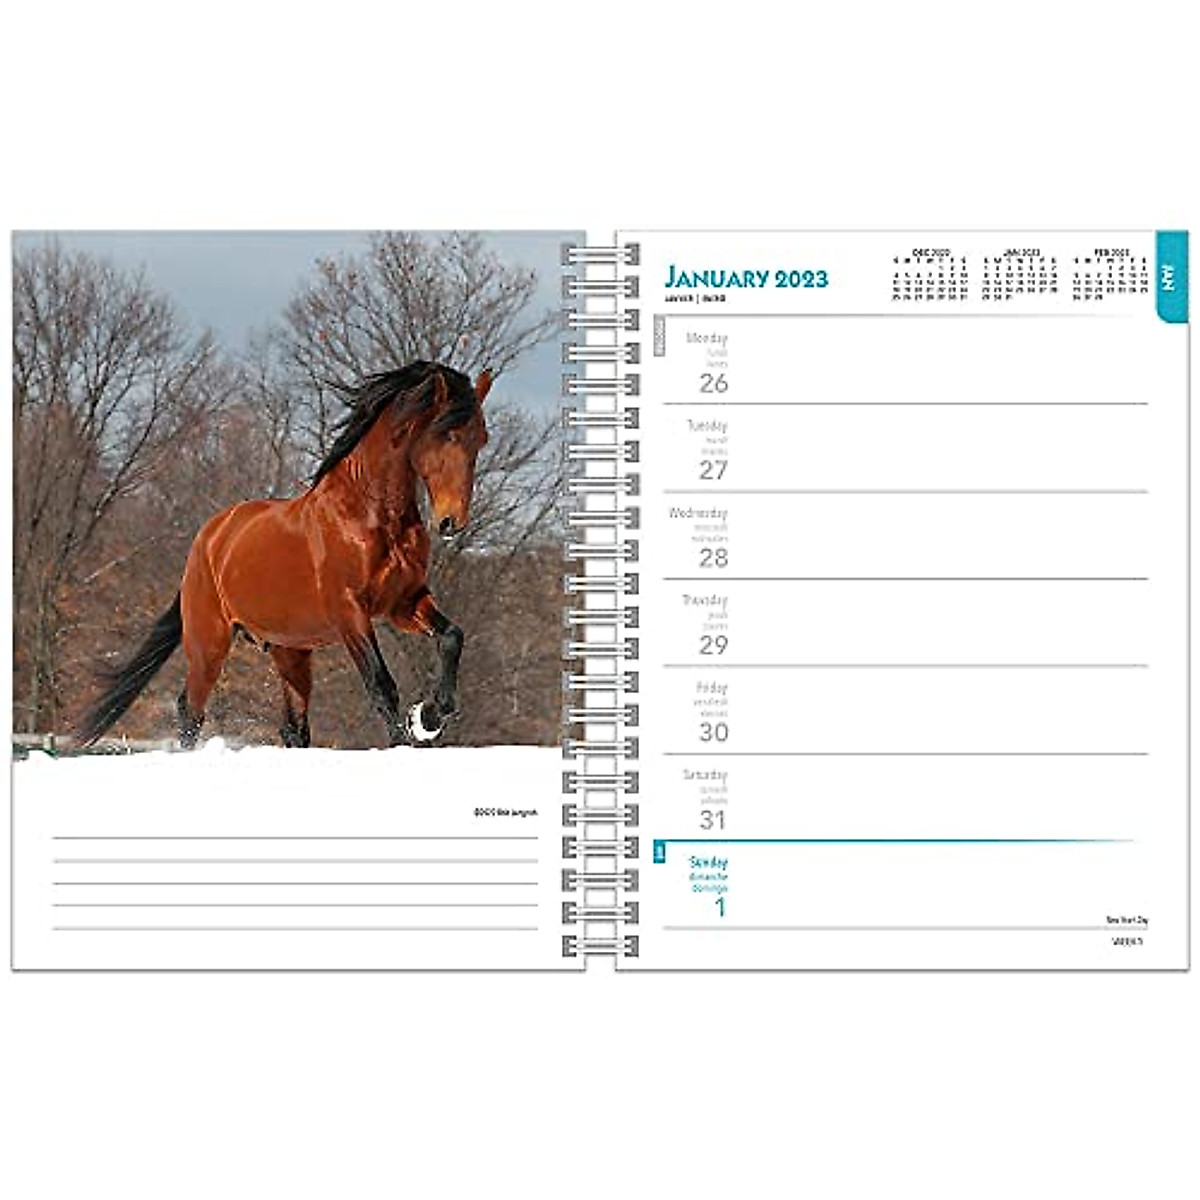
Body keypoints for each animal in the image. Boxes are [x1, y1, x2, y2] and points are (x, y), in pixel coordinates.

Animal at [77, 360, 491, 750]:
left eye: (481, 439)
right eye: (447, 433)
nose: (452, 521)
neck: (369, 515)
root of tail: (209, 537)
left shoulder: (403, 603)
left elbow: (452, 637)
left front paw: (429, 716)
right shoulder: (351, 614)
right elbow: (381, 685)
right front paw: (408, 735)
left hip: (289, 650)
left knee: (293, 727)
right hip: (208, 642)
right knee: (190, 709)